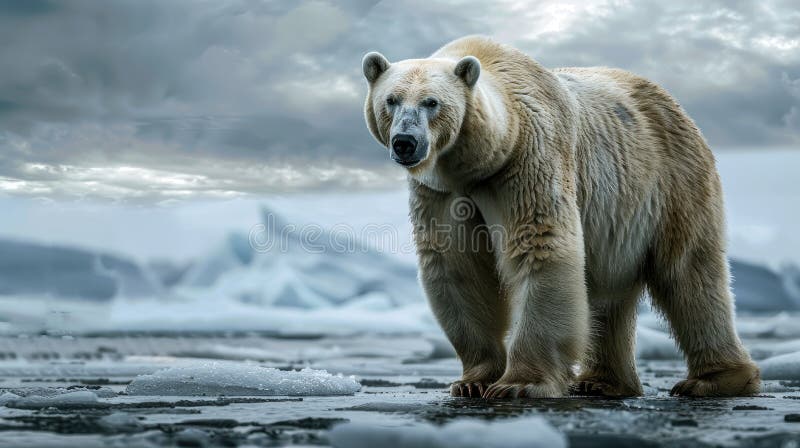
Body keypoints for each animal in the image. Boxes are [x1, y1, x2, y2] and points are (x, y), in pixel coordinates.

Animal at [361, 35, 760, 398]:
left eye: (432, 102)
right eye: (391, 100)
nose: (405, 142)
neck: (479, 159)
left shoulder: (528, 158)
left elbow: (540, 245)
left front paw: (518, 384)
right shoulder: (442, 192)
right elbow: (456, 265)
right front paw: (473, 381)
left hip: (671, 181)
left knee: (689, 273)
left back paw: (715, 380)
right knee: (606, 294)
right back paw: (602, 382)